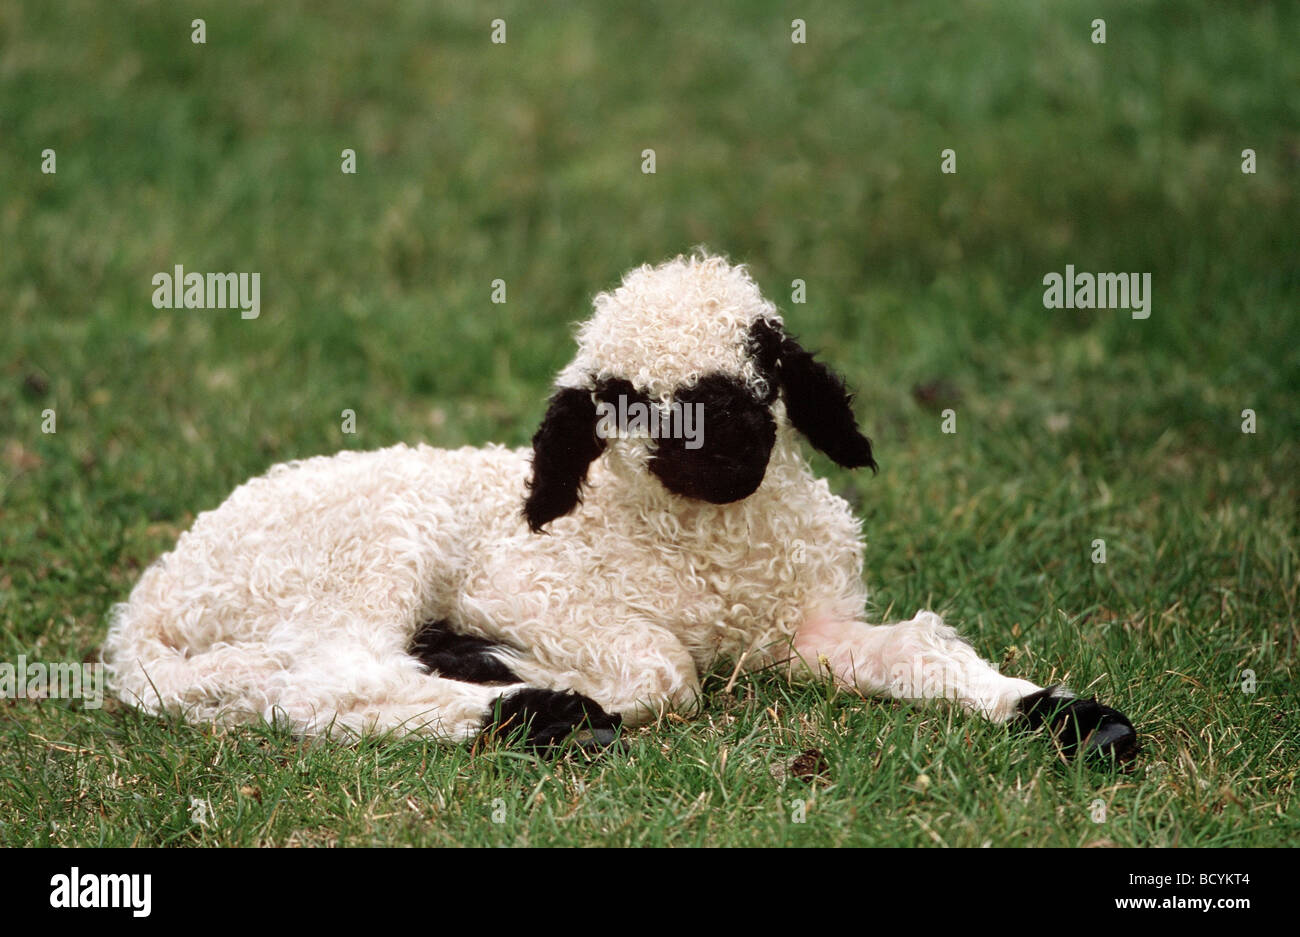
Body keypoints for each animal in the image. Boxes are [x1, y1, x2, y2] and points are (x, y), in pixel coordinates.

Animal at [102, 252, 1137, 760]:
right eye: (626, 398)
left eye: (765, 354)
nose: (727, 442)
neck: (711, 554)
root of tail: (147, 606)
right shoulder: (532, 588)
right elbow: (664, 670)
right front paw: (534, 675)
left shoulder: (811, 627)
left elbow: (921, 653)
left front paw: (1071, 718)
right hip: (366, 551)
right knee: (325, 683)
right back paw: (533, 712)